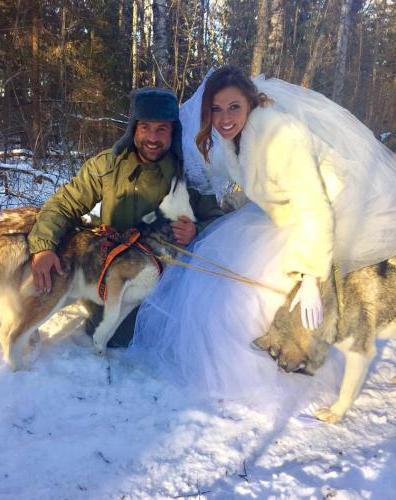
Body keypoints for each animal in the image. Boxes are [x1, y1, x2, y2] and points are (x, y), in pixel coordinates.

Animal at [0, 178, 193, 370]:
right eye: (171, 192)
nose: (181, 175)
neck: (154, 245)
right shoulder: (116, 280)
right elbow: (112, 316)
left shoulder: (131, 301)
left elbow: (112, 327)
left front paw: (100, 348)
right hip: (54, 295)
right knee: (14, 335)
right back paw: (19, 367)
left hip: (63, 296)